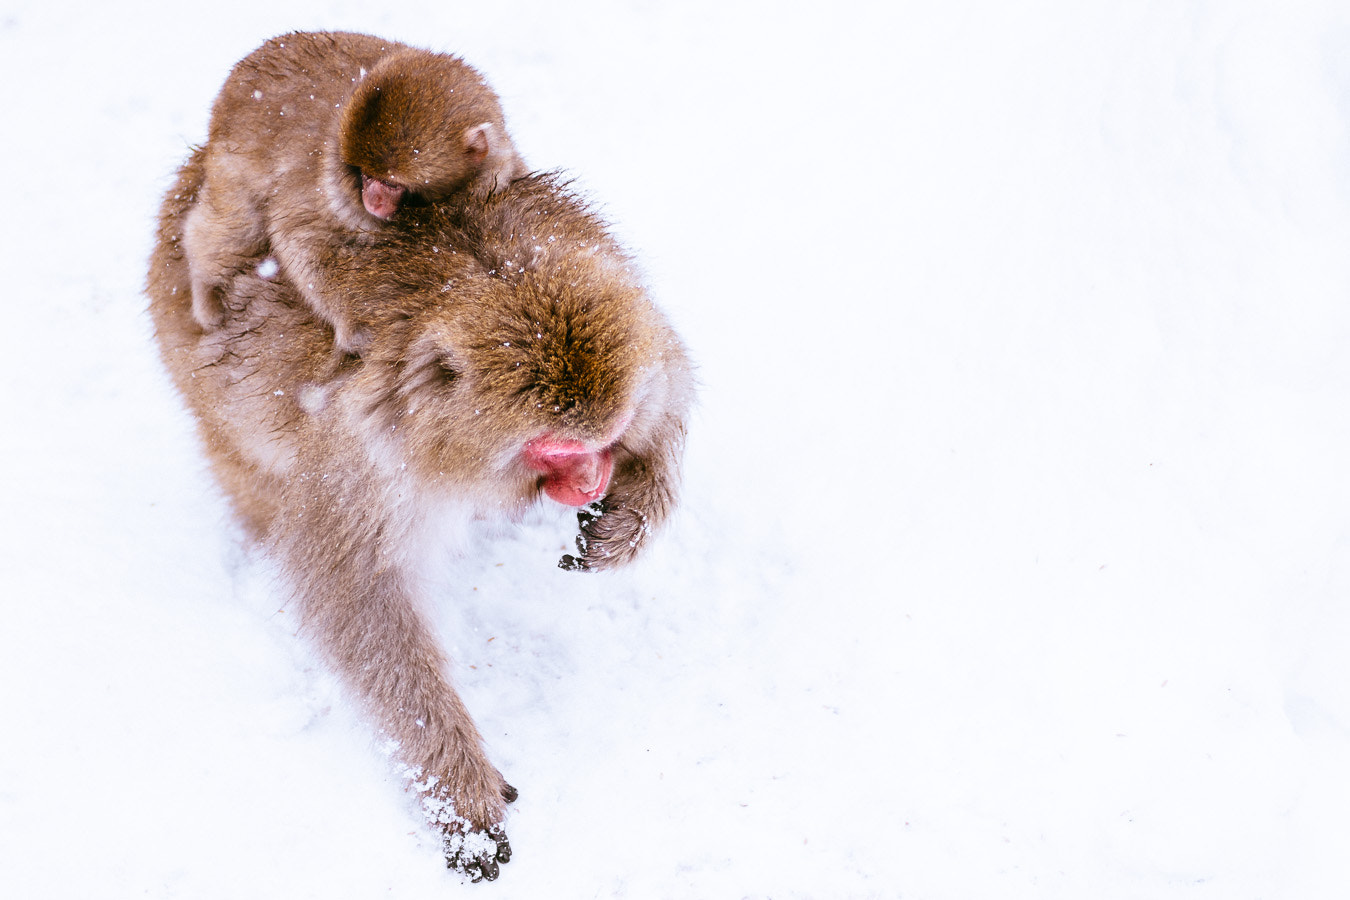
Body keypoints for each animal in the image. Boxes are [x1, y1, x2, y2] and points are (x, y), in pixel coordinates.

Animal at [147, 146, 693, 881]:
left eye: (599, 442)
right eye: (555, 448)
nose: (591, 481)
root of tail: (196, 166)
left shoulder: (633, 324)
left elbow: (670, 388)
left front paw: (626, 525)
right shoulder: (366, 456)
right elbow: (355, 593)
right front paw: (459, 797)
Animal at [182, 31, 527, 354]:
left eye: (390, 183)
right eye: (365, 175)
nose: (371, 200)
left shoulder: (502, 165)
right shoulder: (325, 190)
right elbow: (300, 238)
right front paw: (353, 327)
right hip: (231, 164)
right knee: (233, 228)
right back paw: (205, 293)